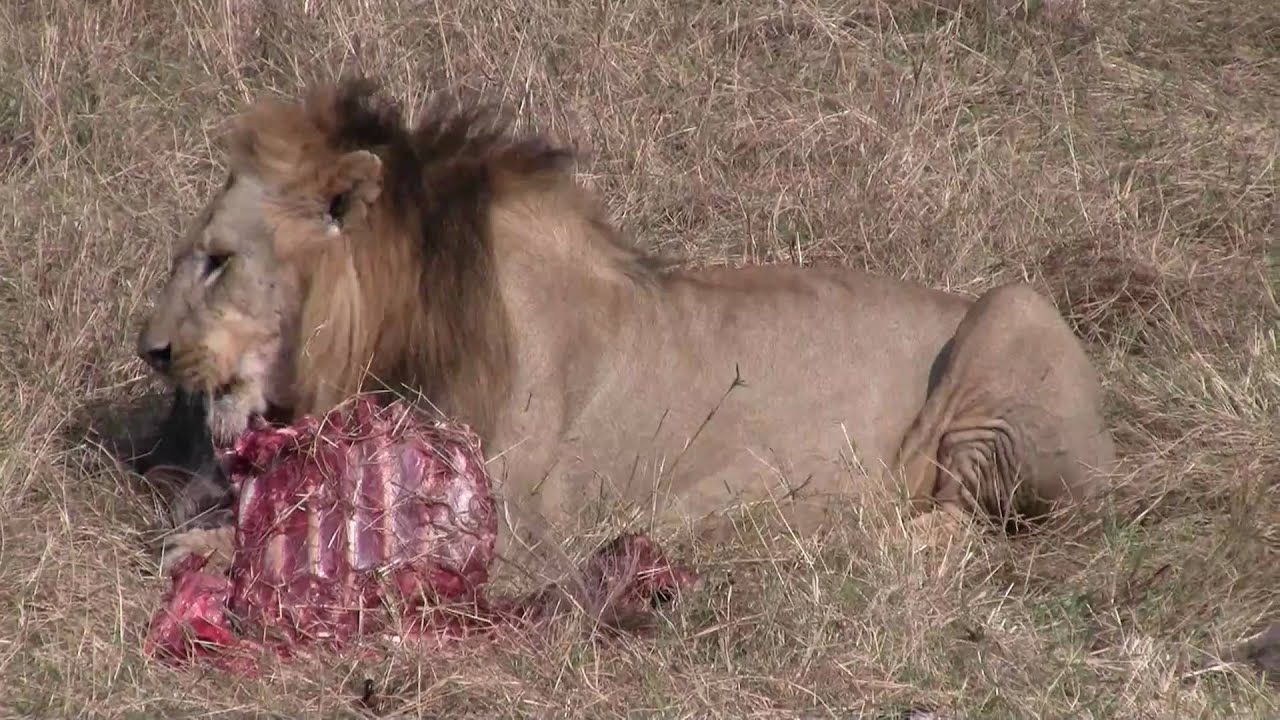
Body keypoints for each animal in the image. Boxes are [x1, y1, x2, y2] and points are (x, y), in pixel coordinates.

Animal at [134, 77, 1117, 576]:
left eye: (217, 259)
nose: (151, 351)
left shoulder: (520, 533)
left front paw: (203, 548)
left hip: (1016, 312)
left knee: (966, 528)